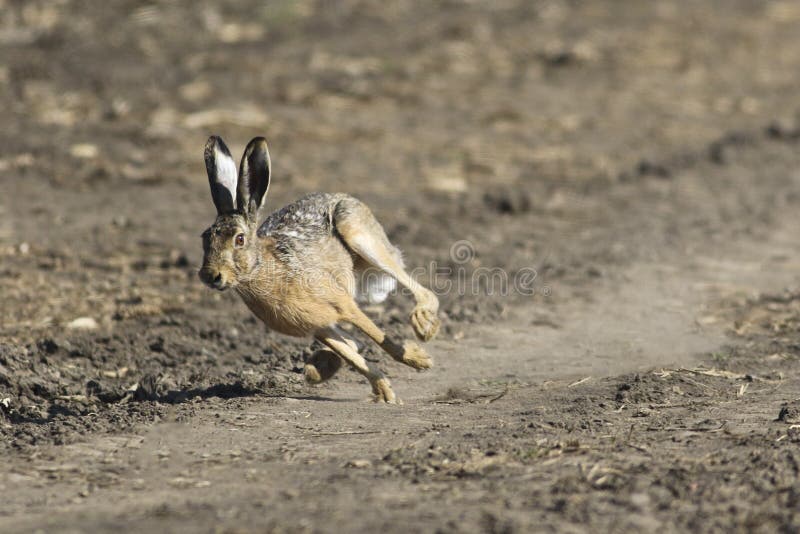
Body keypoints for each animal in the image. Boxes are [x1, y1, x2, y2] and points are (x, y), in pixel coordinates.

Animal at [198, 136, 441, 403]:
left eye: (239, 239)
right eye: (205, 239)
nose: (210, 276)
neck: (263, 269)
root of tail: (341, 196)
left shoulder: (343, 304)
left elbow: (378, 337)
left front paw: (419, 360)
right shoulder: (317, 325)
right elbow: (352, 356)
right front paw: (384, 391)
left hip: (359, 233)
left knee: (423, 291)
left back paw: (424, 325)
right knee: (351, 343)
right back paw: (320, 367)